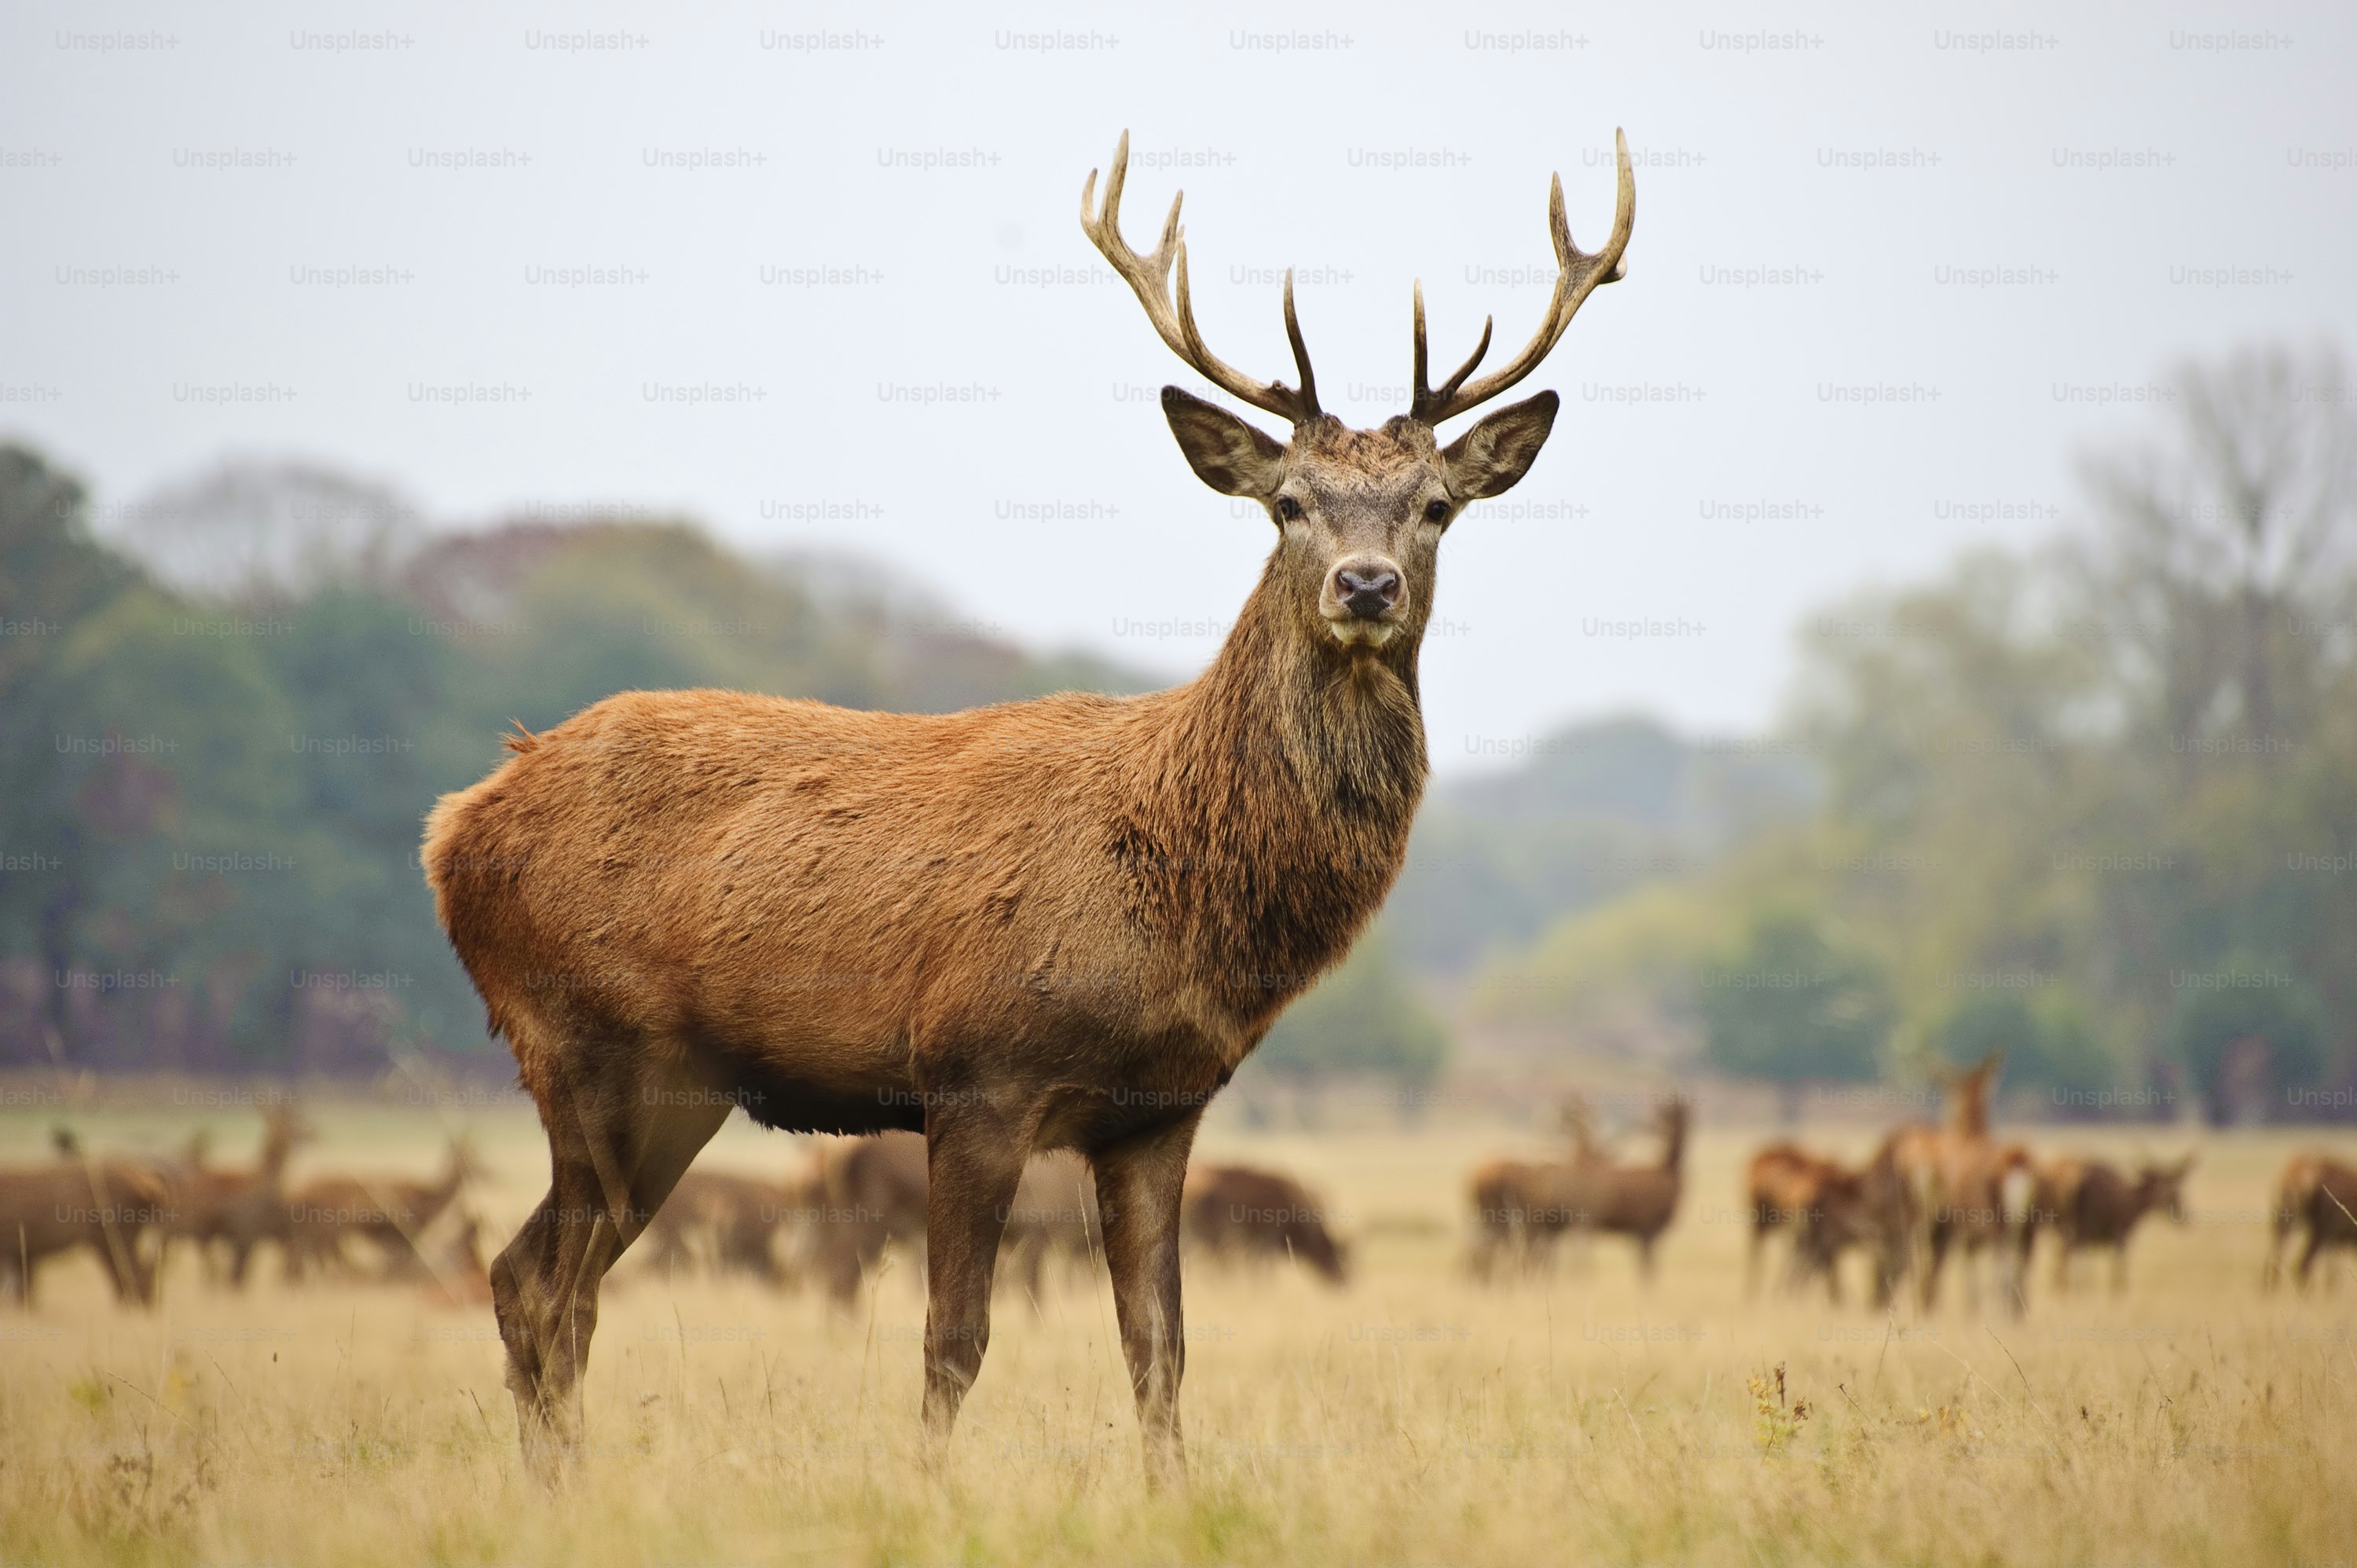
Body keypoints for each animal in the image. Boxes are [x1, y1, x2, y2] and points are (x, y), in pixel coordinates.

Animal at [422, 126, 1633, 1487]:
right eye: (1287, 504)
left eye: (1436, 507)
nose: (1365, 585)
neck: (1183, 890)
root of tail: (454, 825)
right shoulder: (977, 1075)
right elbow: (955, 1340)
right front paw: (927, 1494)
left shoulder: (1161, 1111)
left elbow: (1160, 1346)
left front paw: (1169, 1498)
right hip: (586, 1042)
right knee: (541, 1283)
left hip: (667, 1084)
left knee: (540, 1282)